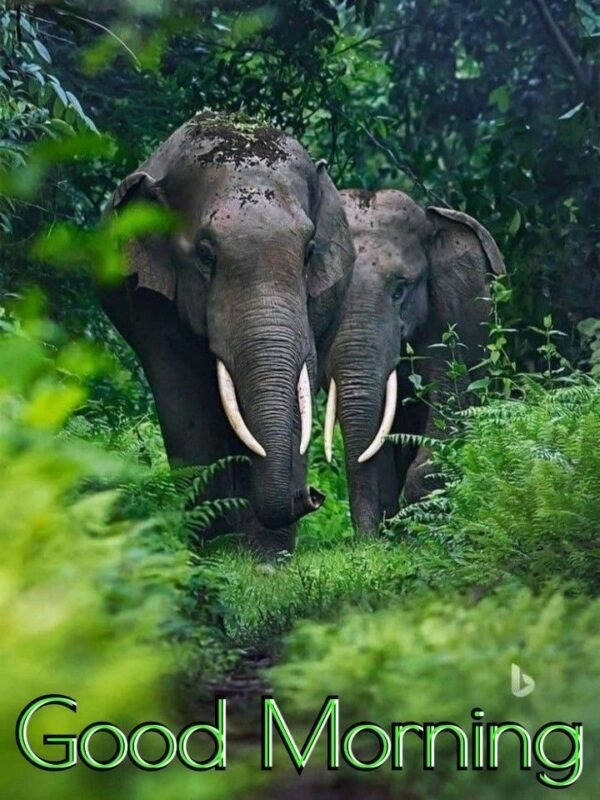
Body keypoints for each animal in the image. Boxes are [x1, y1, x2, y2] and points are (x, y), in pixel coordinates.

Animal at [102, 112, 355, 554]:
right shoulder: (150, 302)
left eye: (309, 253)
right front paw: (212, 550)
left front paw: (266, 558)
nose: (312, 495)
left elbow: (300, 390)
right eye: (205, 256)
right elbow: (186, 402)